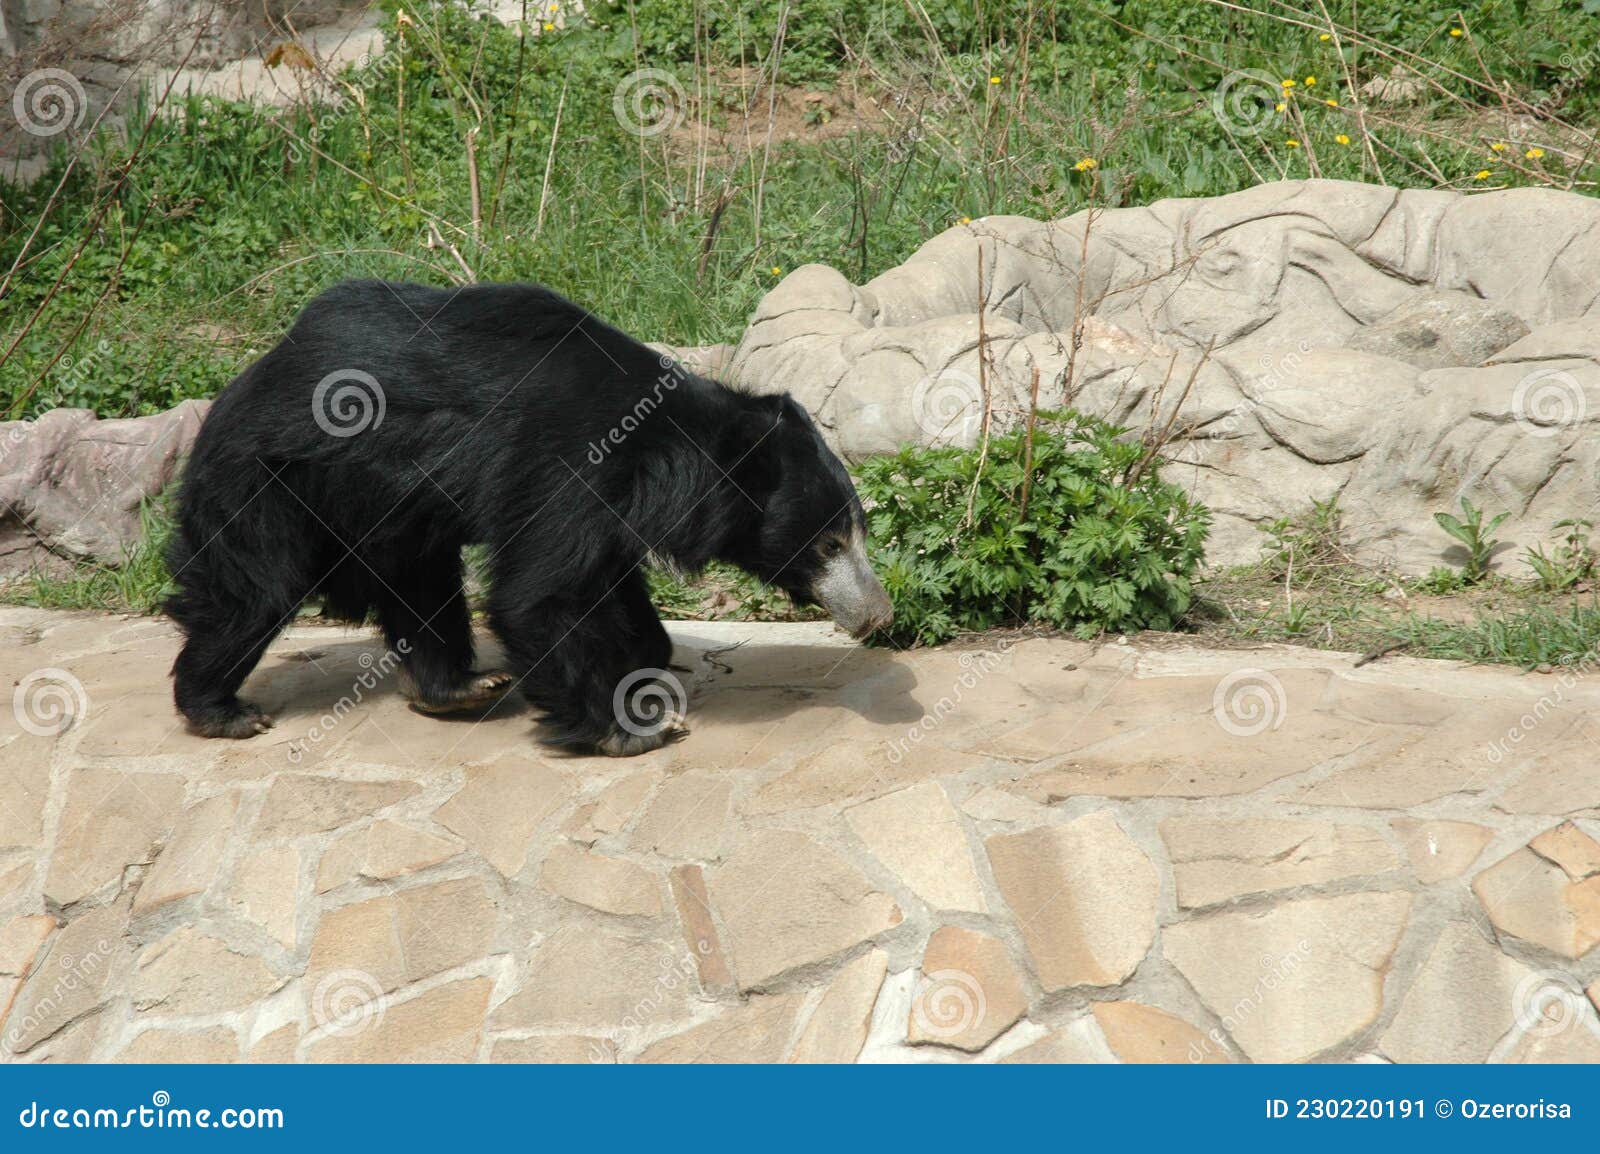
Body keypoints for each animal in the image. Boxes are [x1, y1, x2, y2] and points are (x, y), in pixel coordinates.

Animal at [164, 278, 892, 756]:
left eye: (856, 532)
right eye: (829, 543)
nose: (878, 615)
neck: (666, 451)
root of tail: (252, 373)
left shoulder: (614, 502)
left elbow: (604, 578)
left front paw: (647, 659)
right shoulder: (568, 465)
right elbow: (540, 595)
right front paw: (630, 726)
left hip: (385, 501)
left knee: (419, 576)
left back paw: (458, 685)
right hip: (273, 477)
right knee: (252, 590)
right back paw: (224, 711)